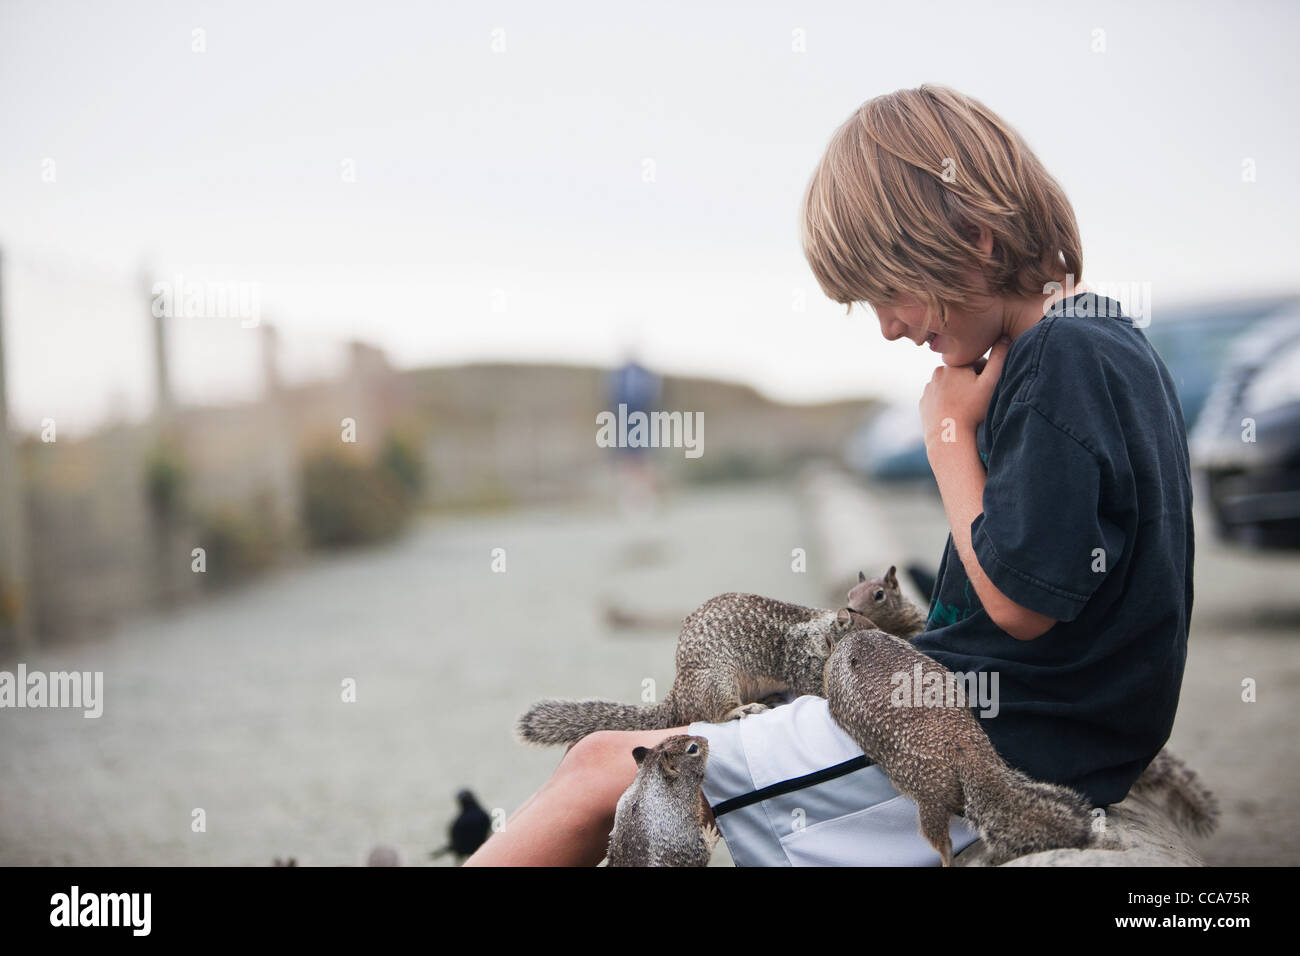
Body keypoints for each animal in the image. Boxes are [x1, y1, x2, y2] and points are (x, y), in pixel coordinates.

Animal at [516, 567, 923, 746]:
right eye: (866, 632)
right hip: (717, 680)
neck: (821, 634)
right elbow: (815, 688)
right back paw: (741, 709)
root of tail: (679, 694)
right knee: (714, 713)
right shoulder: (803, 662)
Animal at [605, 735, 719, 867]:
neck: (647, 783)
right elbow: (699, 853)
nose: (706, 739)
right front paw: (710, 835)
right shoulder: (682, 832)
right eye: (693, 748)